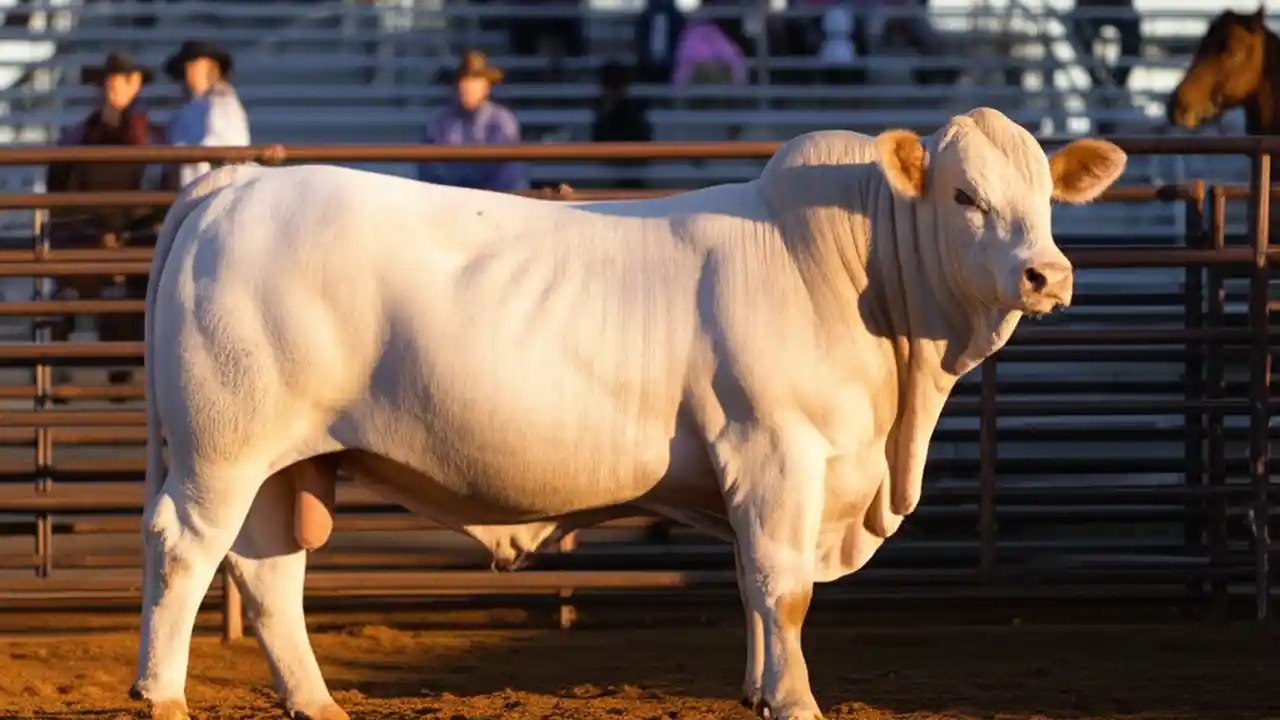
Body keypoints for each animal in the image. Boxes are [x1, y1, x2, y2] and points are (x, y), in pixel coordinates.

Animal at [130, 106, 1125, 720]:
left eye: (1047, 197)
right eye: (965, 195)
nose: (1047, 275)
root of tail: (232, 186)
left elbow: (750, 586)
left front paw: (758, 691)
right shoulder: (778, 450)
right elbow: (785, 586)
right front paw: (797, 699)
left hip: (285, 461)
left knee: (269, 572)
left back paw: (316, 699)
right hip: (224, 450)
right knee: (188, 551)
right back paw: (162, 693)